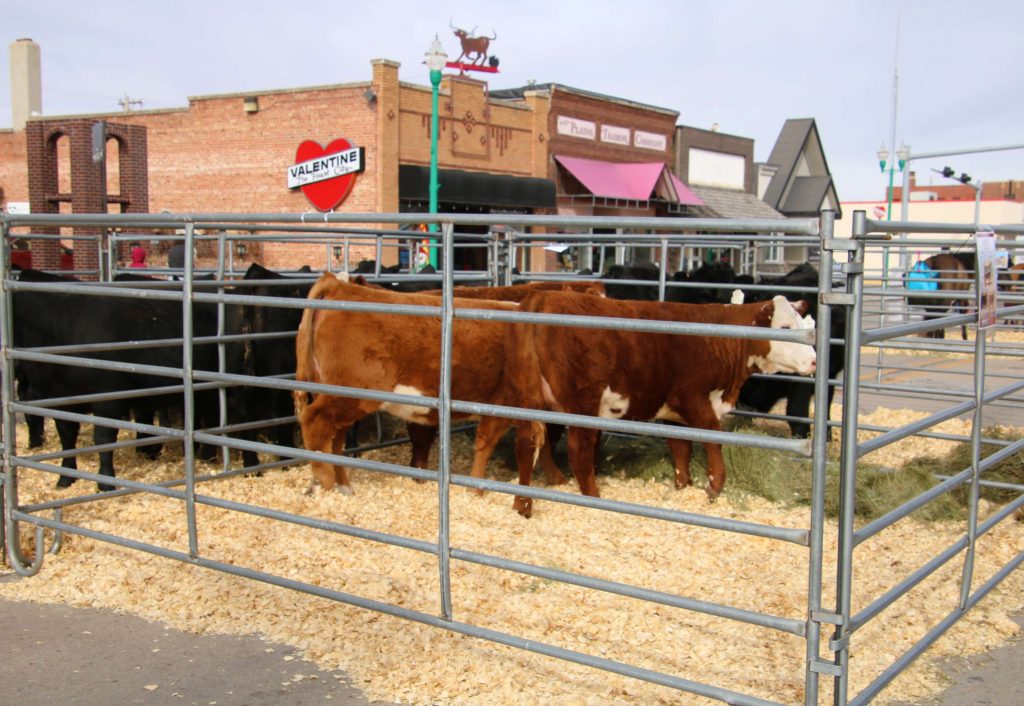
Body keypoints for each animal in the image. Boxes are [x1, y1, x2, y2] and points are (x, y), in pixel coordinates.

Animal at [466, 290, 816, 517]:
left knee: (524, 444)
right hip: (582, 404)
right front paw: (714, 487)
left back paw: (522, 504)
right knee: (578, 451)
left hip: (525, 397)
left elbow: (680, 448)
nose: (814, 361)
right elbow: (712, 438)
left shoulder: (674, 413)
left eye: (805, 326)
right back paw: (594, 498)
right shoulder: (693, 399)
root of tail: (543, 298)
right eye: (785, 328)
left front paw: (683, 485)